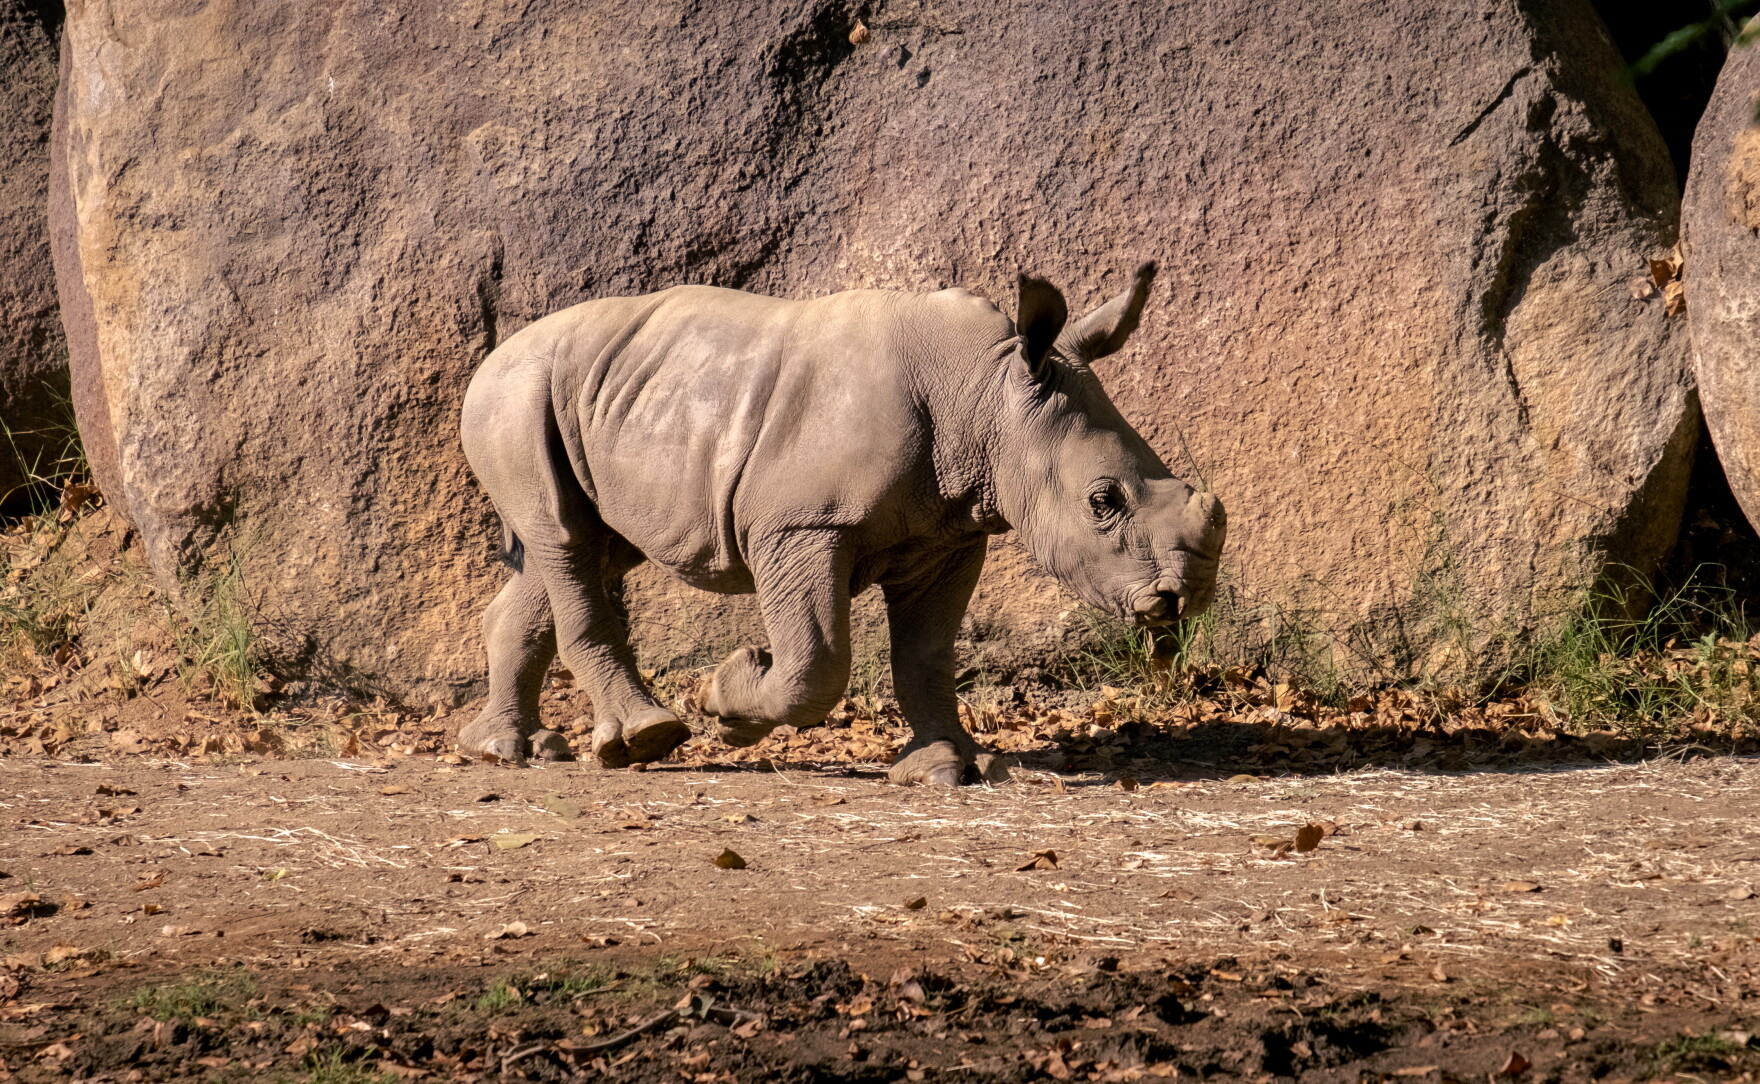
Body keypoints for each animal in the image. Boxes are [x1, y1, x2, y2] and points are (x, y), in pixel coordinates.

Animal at [456, 263, 1225, 785]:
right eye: (1103, 502)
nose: (1183, 598)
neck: (986, 392)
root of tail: (493, 356)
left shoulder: (950, 534)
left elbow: (925, 654)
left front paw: (945, 768)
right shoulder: (801, 526)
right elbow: (816, 662)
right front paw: (728, 697)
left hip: (600, 394)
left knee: (586, 550)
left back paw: (509, 749)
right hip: (514, 395)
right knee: (565, 542)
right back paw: (646, 739)